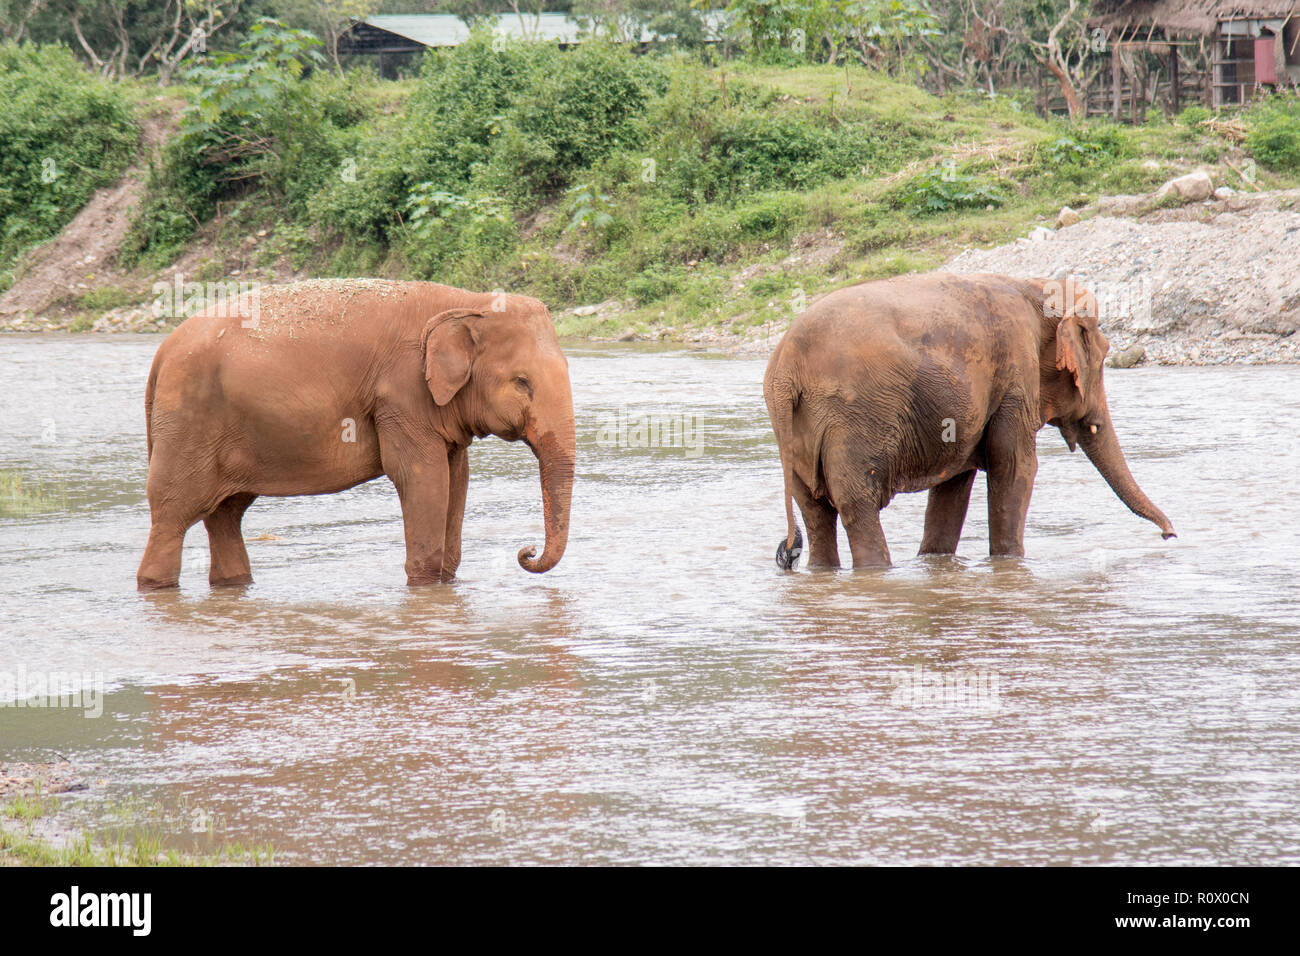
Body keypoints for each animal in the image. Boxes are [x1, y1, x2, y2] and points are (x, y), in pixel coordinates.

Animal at [136, 279, 575, 590]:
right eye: (522, 383)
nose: (526, 551)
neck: (466, 301)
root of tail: (160, 354)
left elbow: (457, 478)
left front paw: (447, 583)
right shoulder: (401, 393)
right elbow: (422, 477)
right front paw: (424, 586)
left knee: (226, 515)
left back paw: (233, 584)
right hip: (187, 426)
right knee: (173, 514)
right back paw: (156, 585)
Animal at [763, 272, 1175, 570]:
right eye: (1104, 360)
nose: (1169, 535)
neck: (1035, 286)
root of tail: (785, 370)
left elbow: (954, 485)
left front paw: (936, 562)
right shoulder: (1015, 375)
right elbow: (1015, 468)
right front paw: (1010, 563)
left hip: (795, 437)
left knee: (816, 515)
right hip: (854, 422)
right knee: (857, 507)